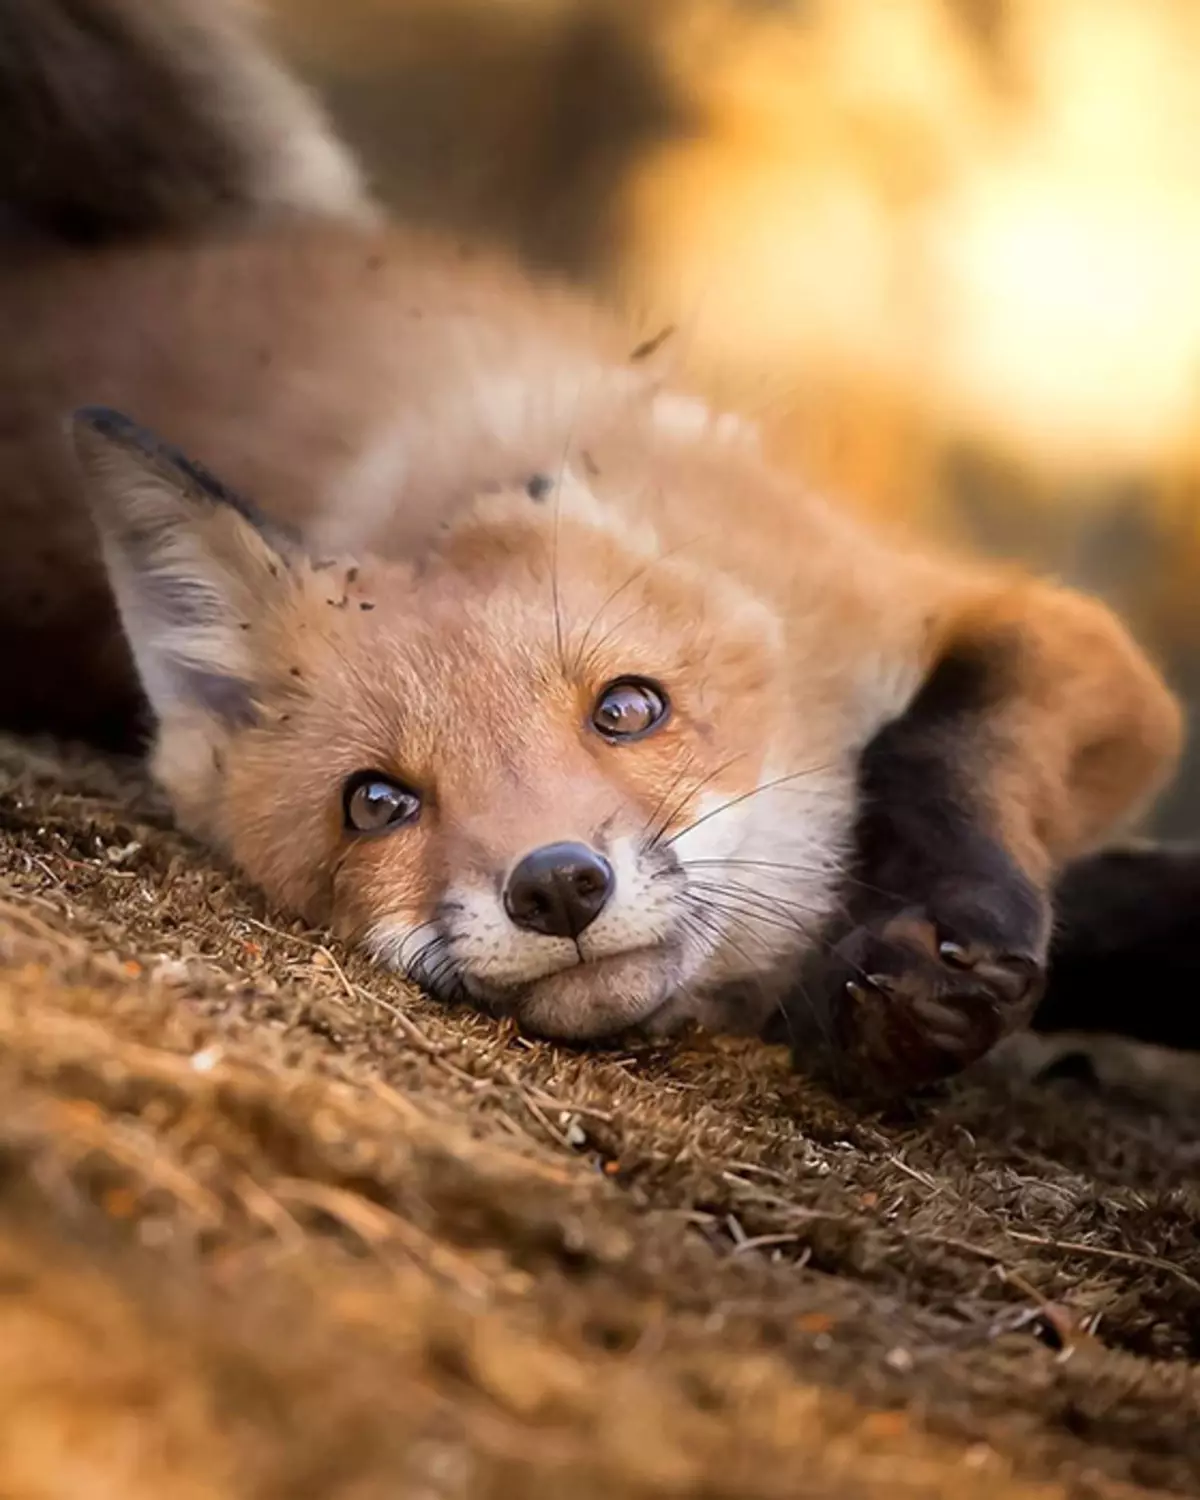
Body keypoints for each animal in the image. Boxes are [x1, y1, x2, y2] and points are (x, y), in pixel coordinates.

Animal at [0, 0, 1188, 1092]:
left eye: (628, 709)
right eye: (376, 803)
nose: (558, 886)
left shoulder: (1019, 632)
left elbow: (944, 746)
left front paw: (943, 927)